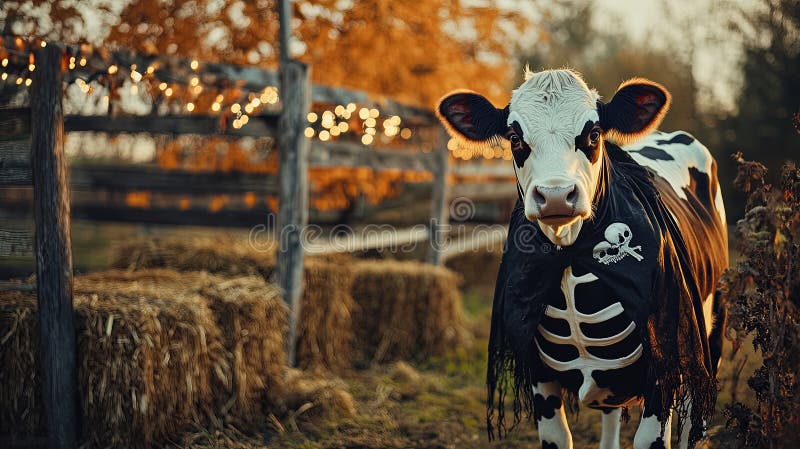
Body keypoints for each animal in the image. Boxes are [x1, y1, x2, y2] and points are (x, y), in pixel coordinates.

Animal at [435, 69, 728, 449]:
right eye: (515, 137)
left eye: (593, 133)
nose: (556, 196)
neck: (573, 254)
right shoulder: (540, 376)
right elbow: (559, 436)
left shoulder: (664, 368)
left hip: (709, 329)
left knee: (695, 420)